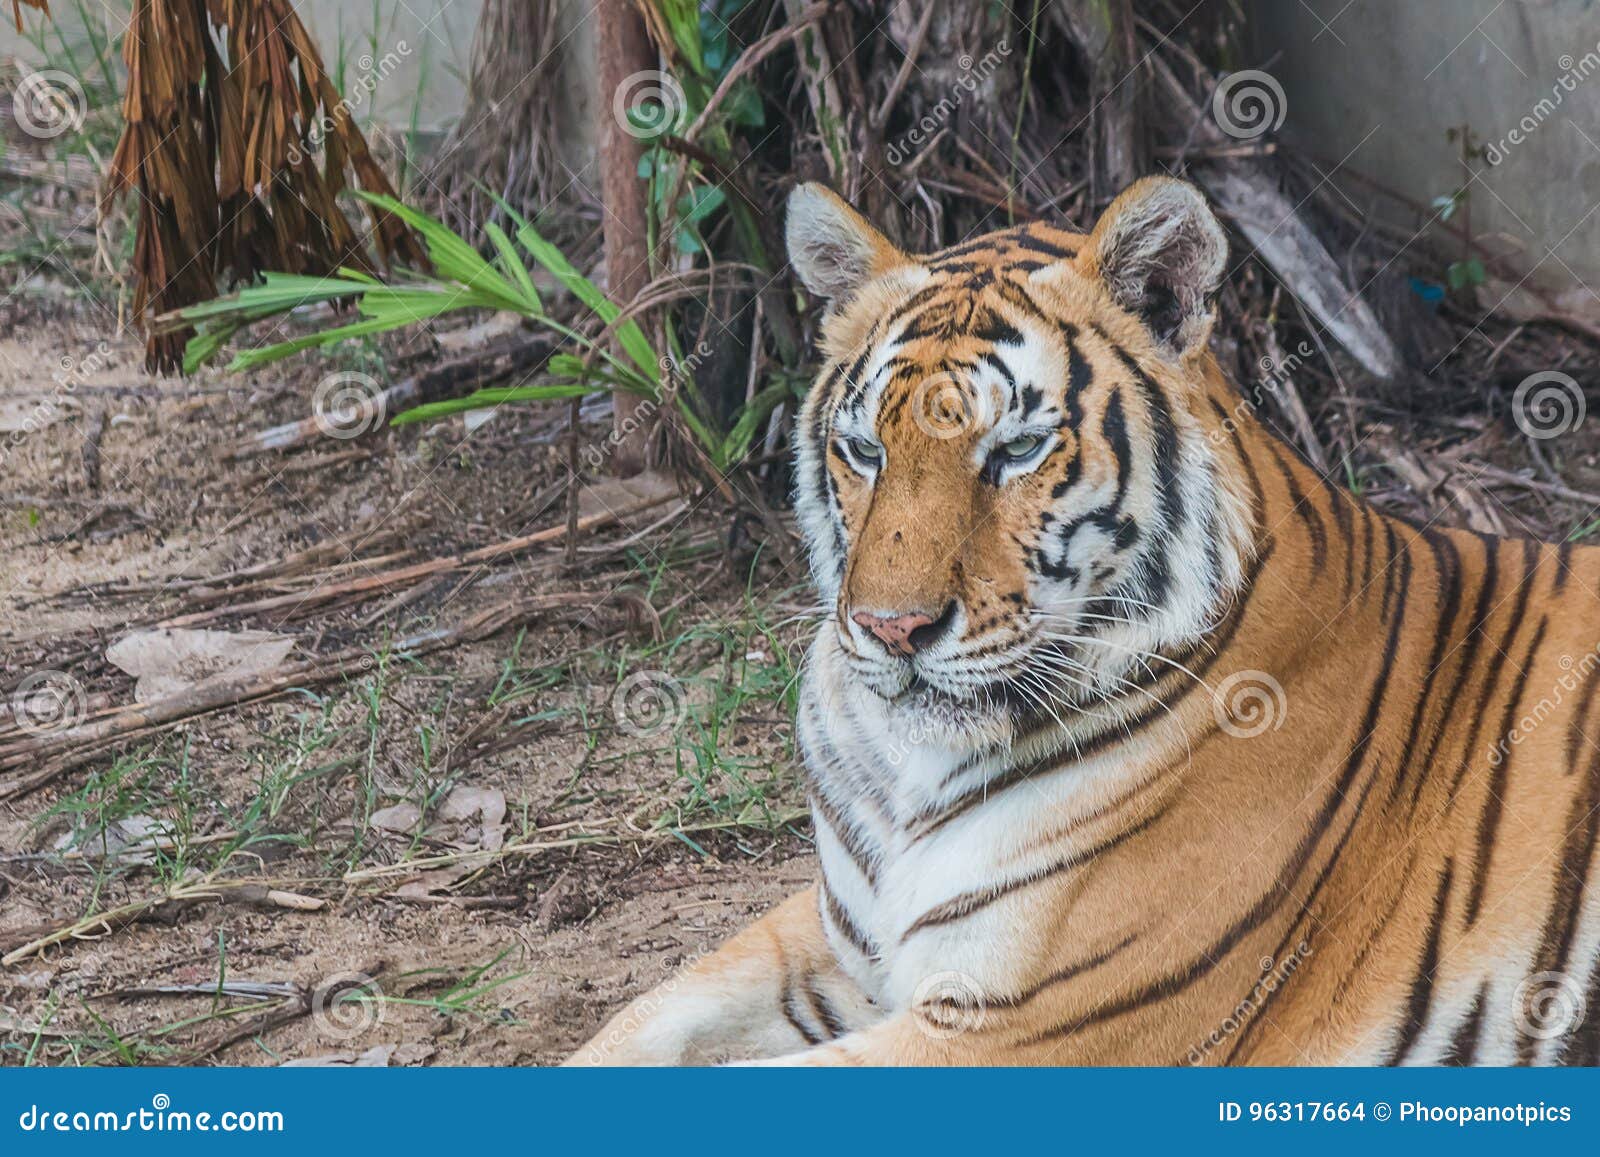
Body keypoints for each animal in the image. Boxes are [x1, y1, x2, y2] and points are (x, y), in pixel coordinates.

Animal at [568, 175, 1600, 1066]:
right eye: (863, 449)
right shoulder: (839, 937)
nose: (892, 629)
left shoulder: (1023, 1026)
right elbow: (647, 1013)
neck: (904, 774)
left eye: (1017, 448)